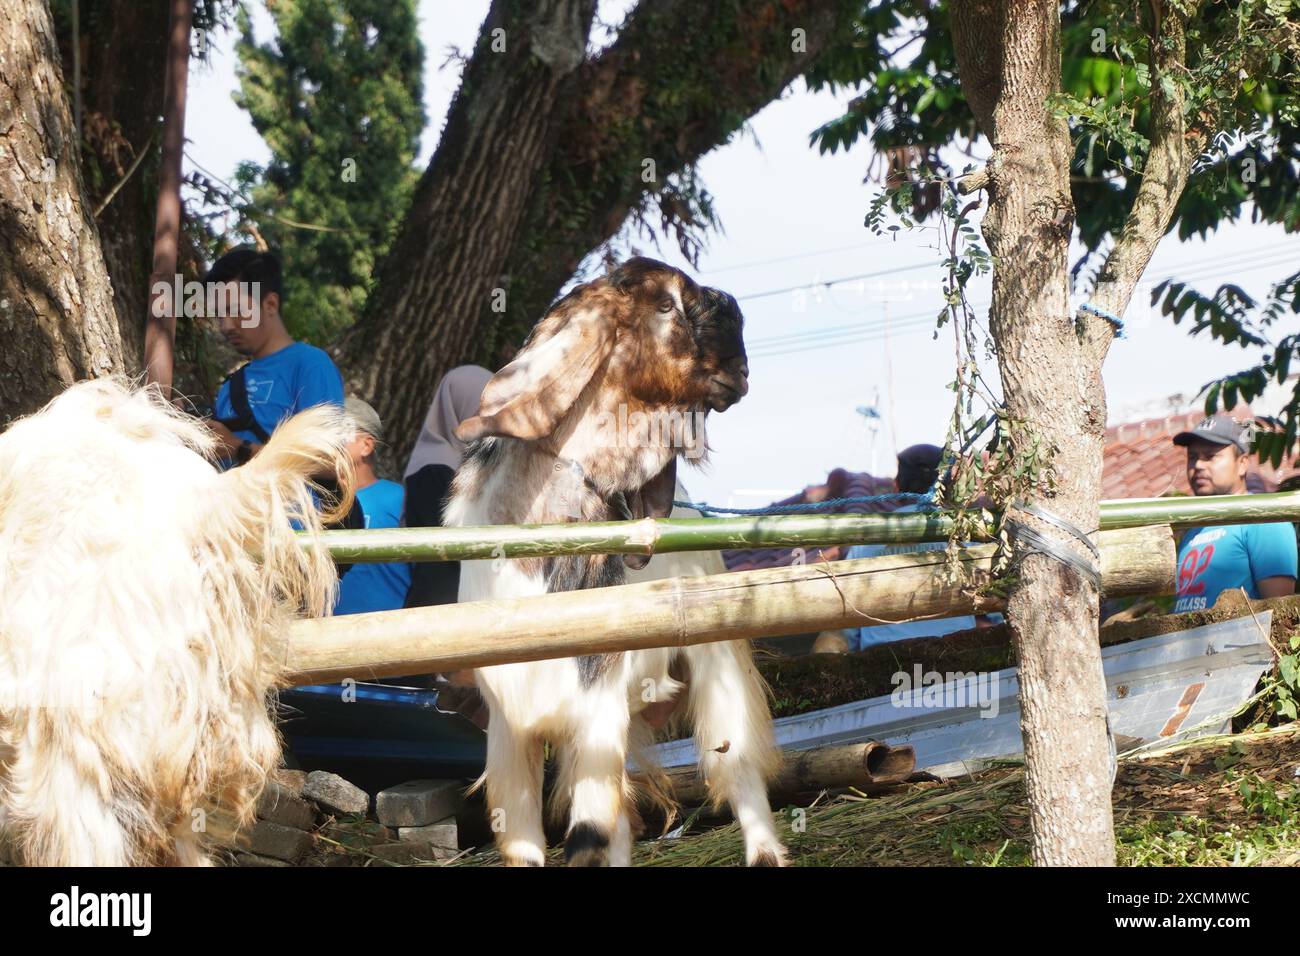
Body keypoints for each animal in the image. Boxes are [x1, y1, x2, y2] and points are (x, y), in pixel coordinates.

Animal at [443, 256, 785, 866]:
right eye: (666, 304)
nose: (742, 367)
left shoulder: (594, 710)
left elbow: (587, 836)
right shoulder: (511, 730)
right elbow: (530, 846)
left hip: (716, 664)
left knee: (739, 769)